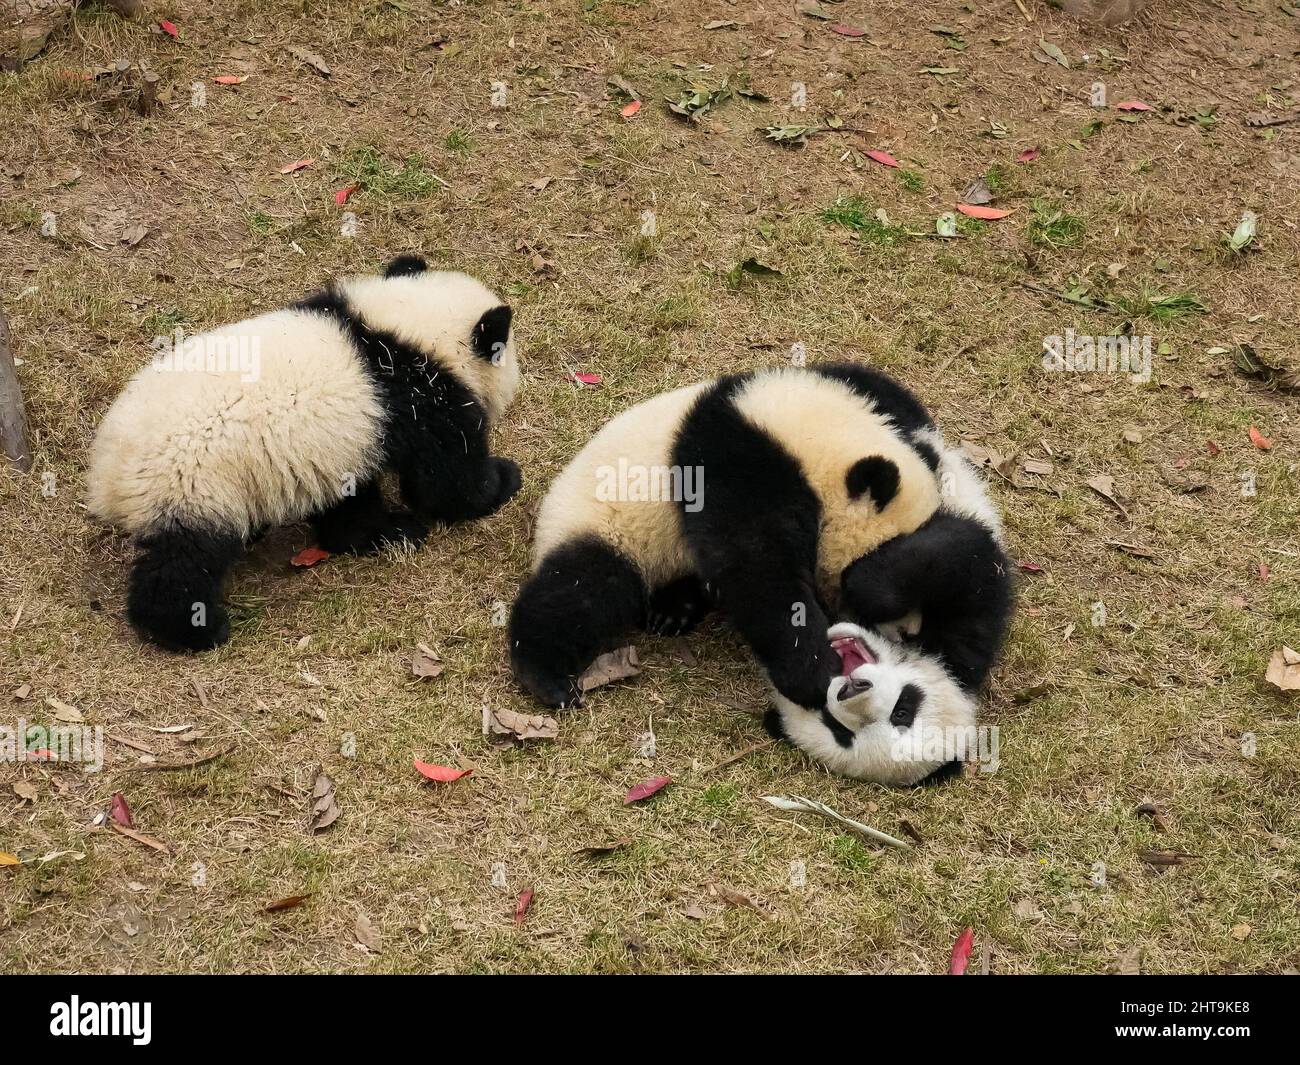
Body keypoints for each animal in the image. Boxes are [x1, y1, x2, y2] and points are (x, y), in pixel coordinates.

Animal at [87, 255, 522, 652]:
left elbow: (350, 502)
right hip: (192, 481)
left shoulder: (347, 444)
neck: (406, 332)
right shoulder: (421, 403)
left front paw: (377, 532)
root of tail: (108, 471)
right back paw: (194, 629)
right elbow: (445, 484)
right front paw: (501, 481)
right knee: (183, 559)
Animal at [508, 363, 945, 711]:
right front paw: (818, 674)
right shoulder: (736, 466)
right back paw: (546, 675)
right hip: (608, 526)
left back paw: (674, 608)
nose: (906, 634)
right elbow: (756, 570)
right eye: (867, 576)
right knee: (582, 589)